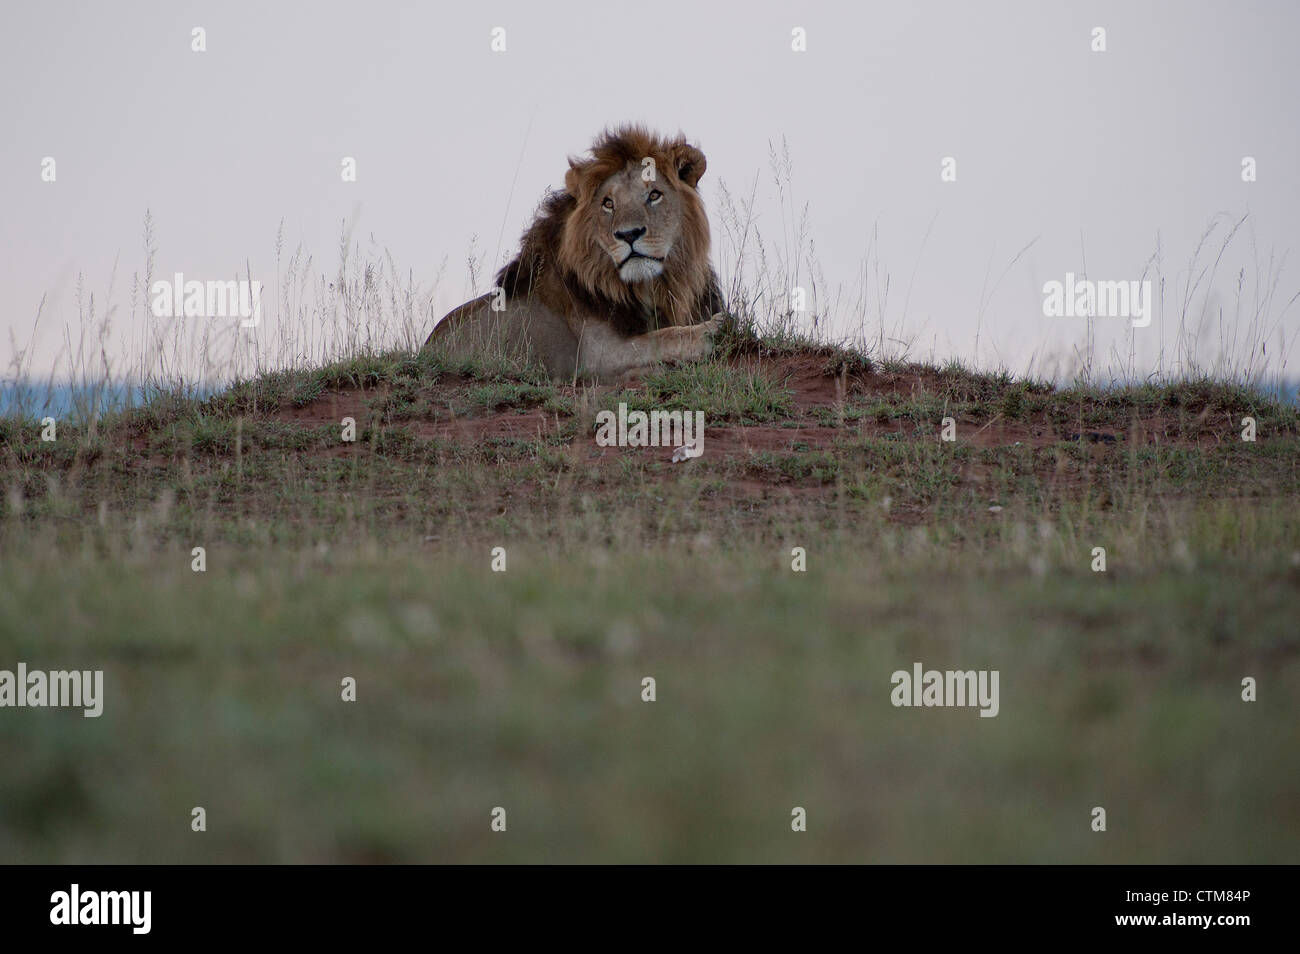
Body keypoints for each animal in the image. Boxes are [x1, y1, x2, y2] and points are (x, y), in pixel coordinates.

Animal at [422, 125, 727, 381]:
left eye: (654, 195)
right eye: (608, 203)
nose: (628, 234)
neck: (652, 287)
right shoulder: (599, 354)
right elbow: (663, 338)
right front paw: (714, 329)